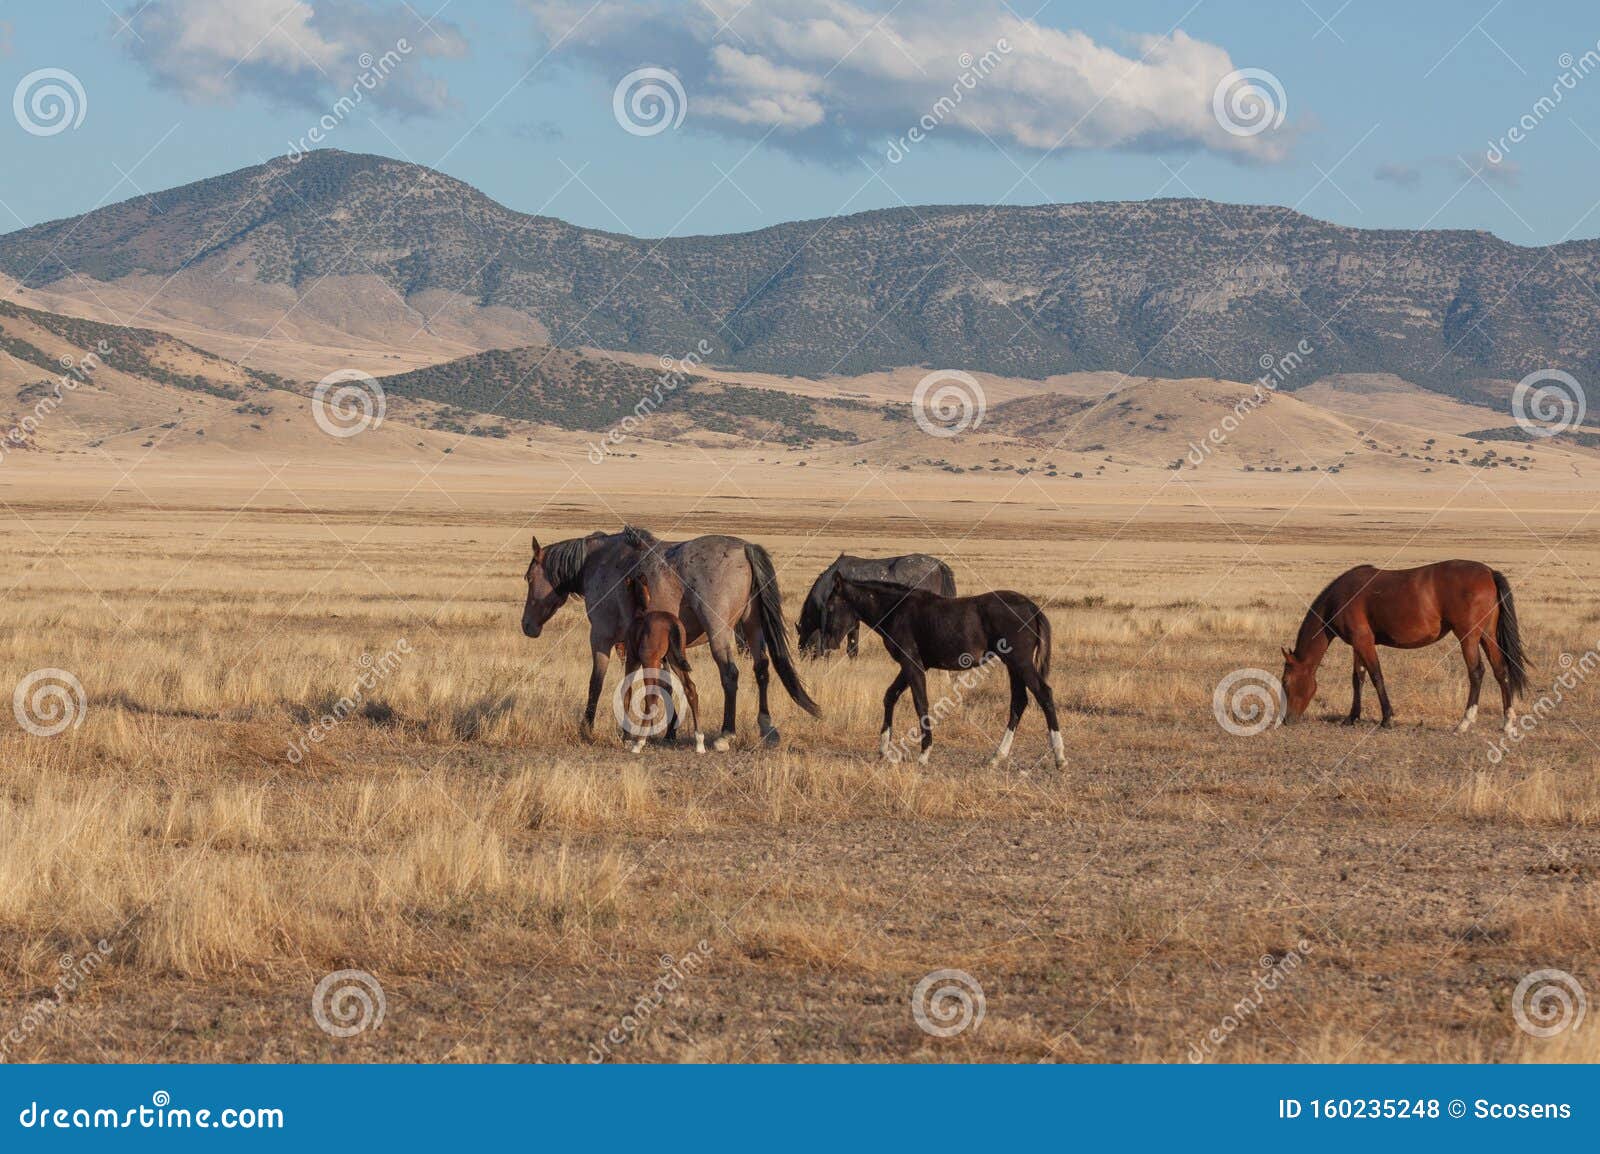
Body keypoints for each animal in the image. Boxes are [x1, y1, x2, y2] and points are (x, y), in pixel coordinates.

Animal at [618, 575, 703, 754]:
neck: (640, 613)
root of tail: (672, 623)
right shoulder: (664, 663)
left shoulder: (632, 660)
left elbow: (627, 691)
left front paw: (626, 737)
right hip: (676, 659)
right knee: (690, 688)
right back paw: (700, 742)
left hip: (650, 663)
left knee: (651, 696)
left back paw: (638, 743)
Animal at [825, 576, 1066, 768]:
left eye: (830, 607)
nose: (829, 643)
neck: (897, 610)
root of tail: (1032, 607)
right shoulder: (913, 666)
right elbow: (890, 696)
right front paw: (884, 747)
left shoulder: (912, 664)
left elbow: (921, 703)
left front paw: (924, 754)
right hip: (1013, 666)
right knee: (1019, 702)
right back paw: (997, 756)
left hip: (1020, 663)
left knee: (1044, 694)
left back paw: (1059, 756)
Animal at [1278, 560, 1528, 733]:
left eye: (1286, 682)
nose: (1287, 720)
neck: (1339, 598)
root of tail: (1489, 572)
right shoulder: (1357, 645)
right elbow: (1358, 678)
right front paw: (1352, 717)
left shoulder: (1364, 642)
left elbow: (1376, 676)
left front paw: (1387, 718)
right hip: (1487, 636)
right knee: (1501, 672)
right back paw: (1508, 723)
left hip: (1468, 637)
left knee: (1477, 673)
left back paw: (1464, 723)